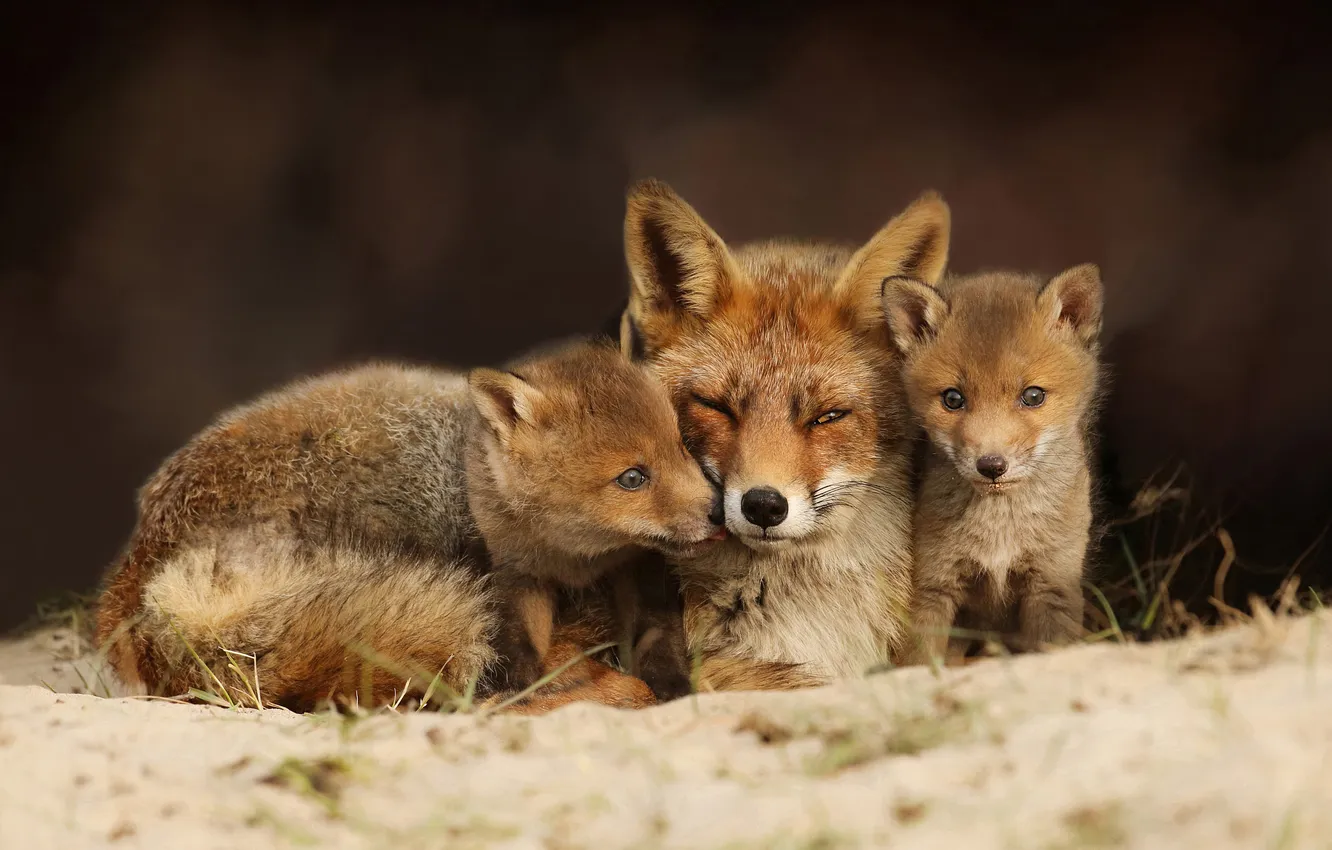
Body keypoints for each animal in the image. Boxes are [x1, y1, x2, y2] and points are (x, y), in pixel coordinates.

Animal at [880, 265, 1105, 664]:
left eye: (1033, 396)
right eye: (953, 399)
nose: (991, 465)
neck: (1001, 528)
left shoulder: (1053, 583)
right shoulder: (932, 584)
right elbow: (920, 662)